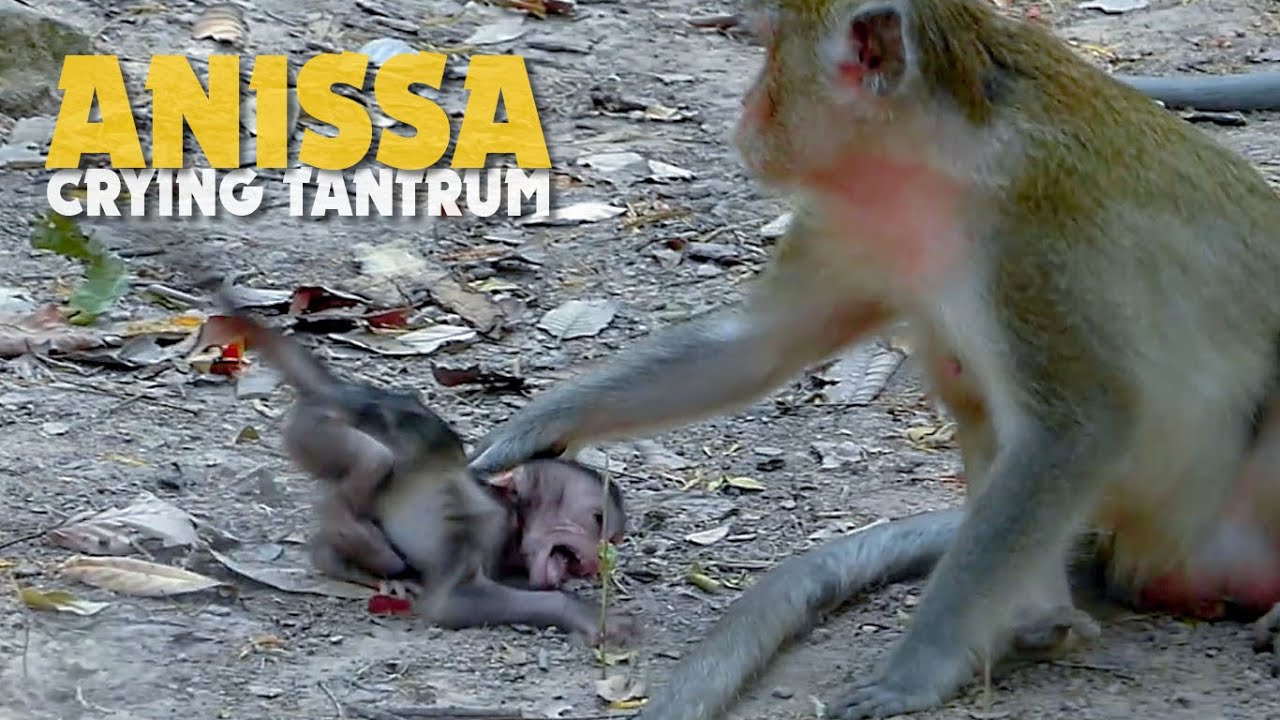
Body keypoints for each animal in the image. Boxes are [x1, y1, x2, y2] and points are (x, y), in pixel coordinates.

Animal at [214, 294, 636, 644]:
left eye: (612, 536)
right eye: (597, 519)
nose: (596, 561)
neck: (511, 516)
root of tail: (344, 392)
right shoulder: (480, 524)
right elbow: (450, 603)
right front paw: (586, 615)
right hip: (316, 429)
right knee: (371, 463)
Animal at [469, 0, 1280, 715]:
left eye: (768, 50)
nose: (747, 111)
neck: (937, 162)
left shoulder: (1034, 245)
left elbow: (1078, 428)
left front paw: (918, 672)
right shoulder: (860, 219)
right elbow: (757, 345)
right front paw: (534, 427)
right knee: (971, 389)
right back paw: (1036, 622)